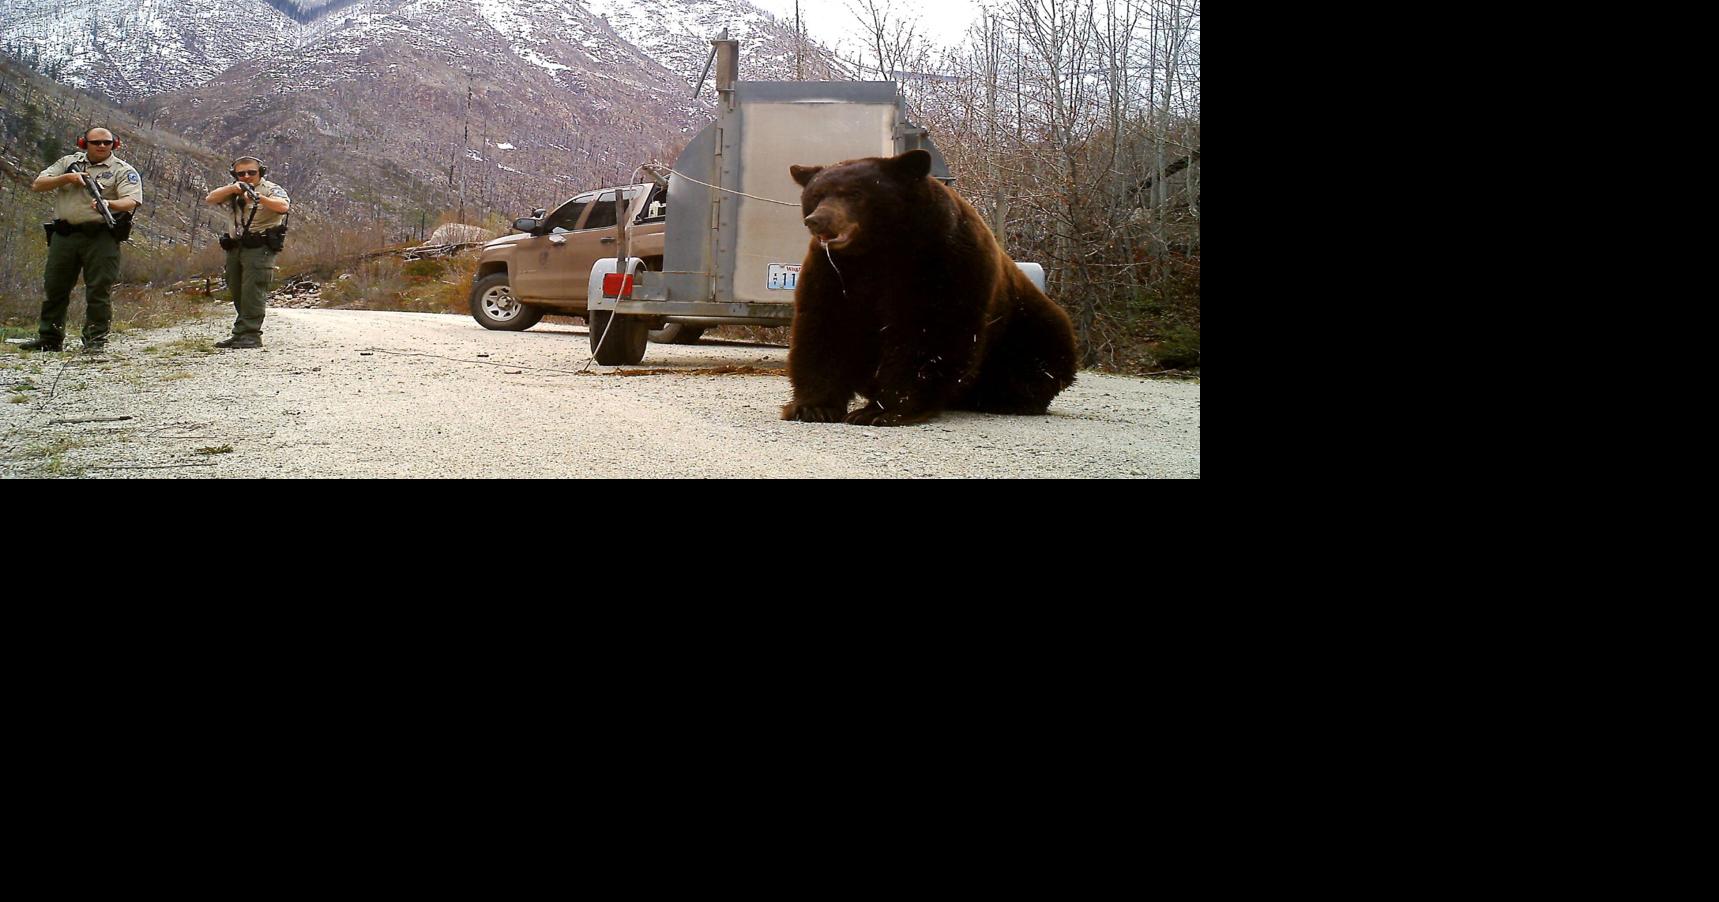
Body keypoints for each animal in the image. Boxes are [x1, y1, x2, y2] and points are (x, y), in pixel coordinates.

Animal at [780, 149, 1078, 427]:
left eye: (854, 193)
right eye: (817, 195)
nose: (817, 219)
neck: (878, 248)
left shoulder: (940, 262)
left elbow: (926, 331)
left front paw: (881, 411)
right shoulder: (835, 271)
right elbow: (826, 328)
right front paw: (814, 407)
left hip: (1027, 325)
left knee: (1038, 359)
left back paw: (1007, 399)